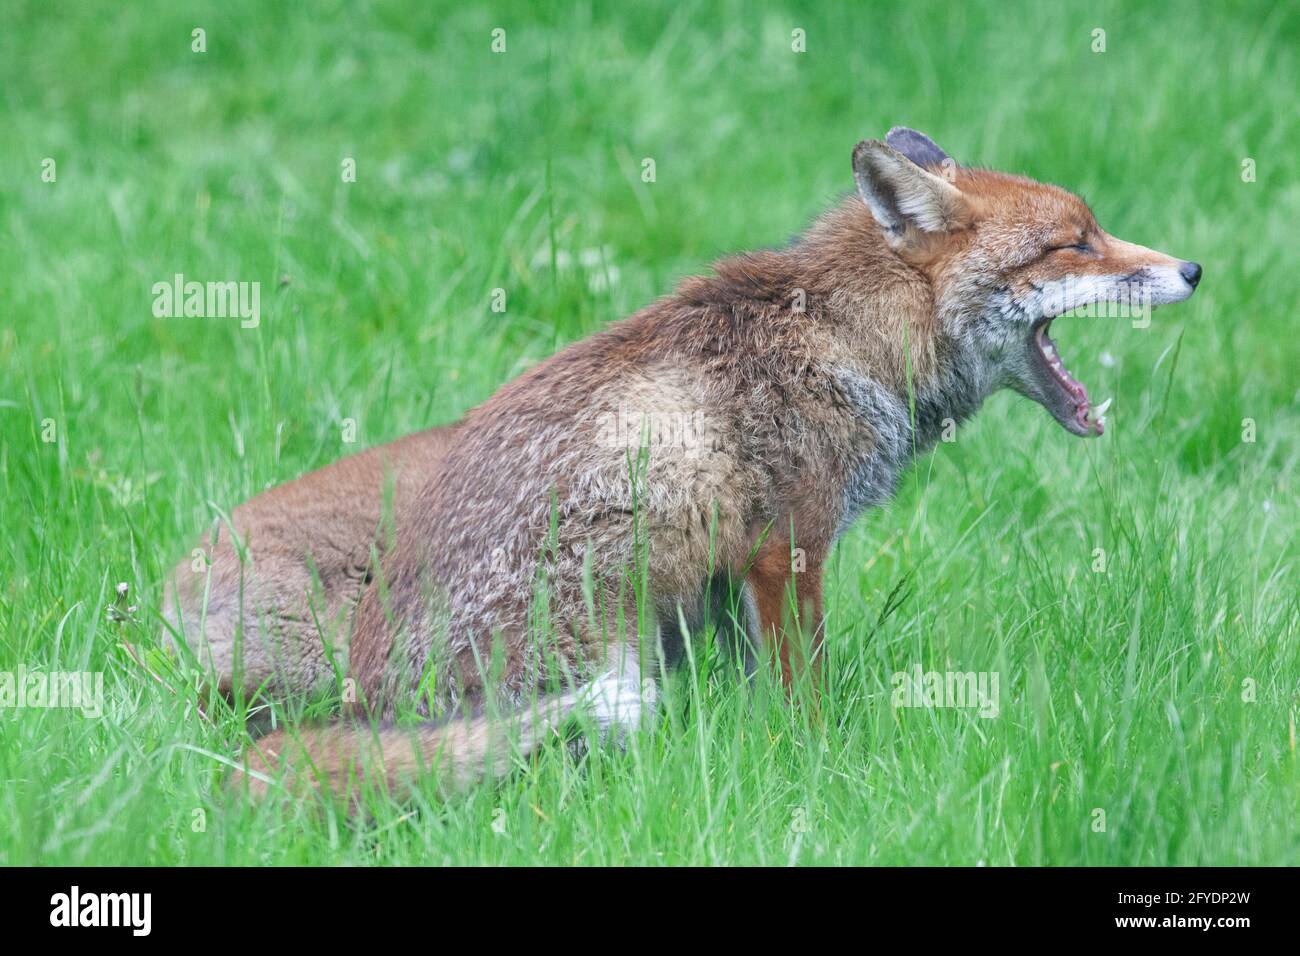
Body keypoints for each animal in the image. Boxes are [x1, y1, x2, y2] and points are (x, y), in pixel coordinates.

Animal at [162, 128, 1201, 803]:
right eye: (1074, 243)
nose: (1192, 270)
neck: (849, 339)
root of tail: (367, 699)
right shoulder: (788, 544)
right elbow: (804, 688)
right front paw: (818, 765)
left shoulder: (725, 575)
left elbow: (750, 681)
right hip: (613, 620)